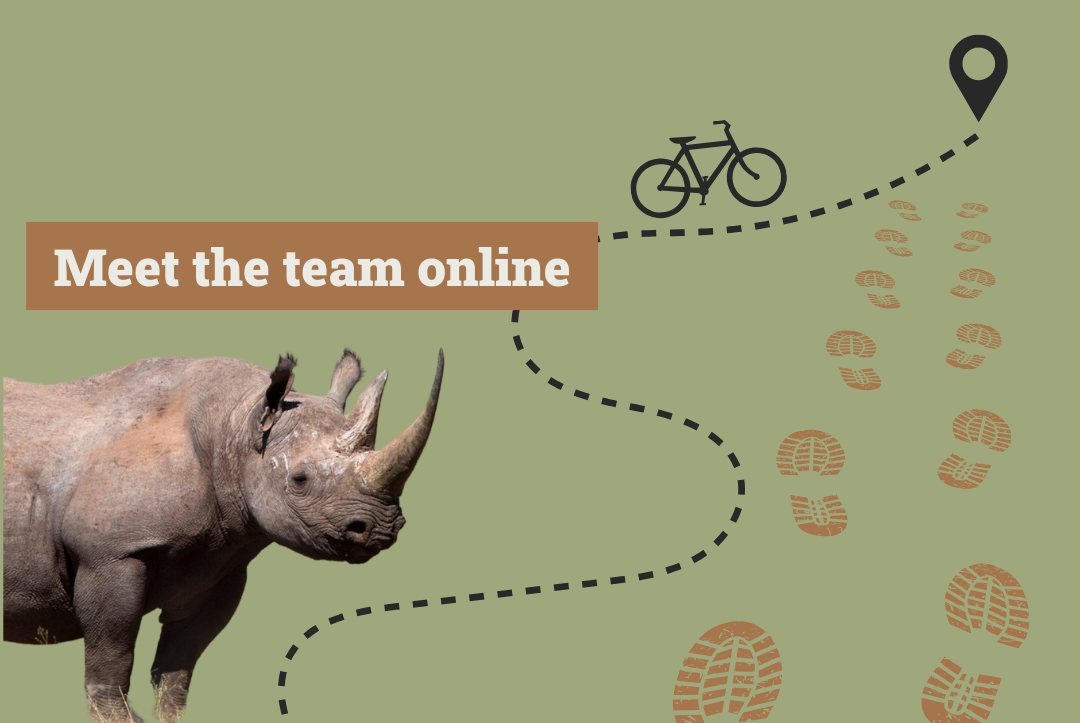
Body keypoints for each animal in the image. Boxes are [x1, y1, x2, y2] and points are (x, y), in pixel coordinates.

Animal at [3, 348, 444, 722]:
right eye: (299, 480)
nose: (381, 528)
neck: (235, 426)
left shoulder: (217, 563)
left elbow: (178, 667)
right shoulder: (110, 554)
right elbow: (111, 656)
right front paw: (120, 717)